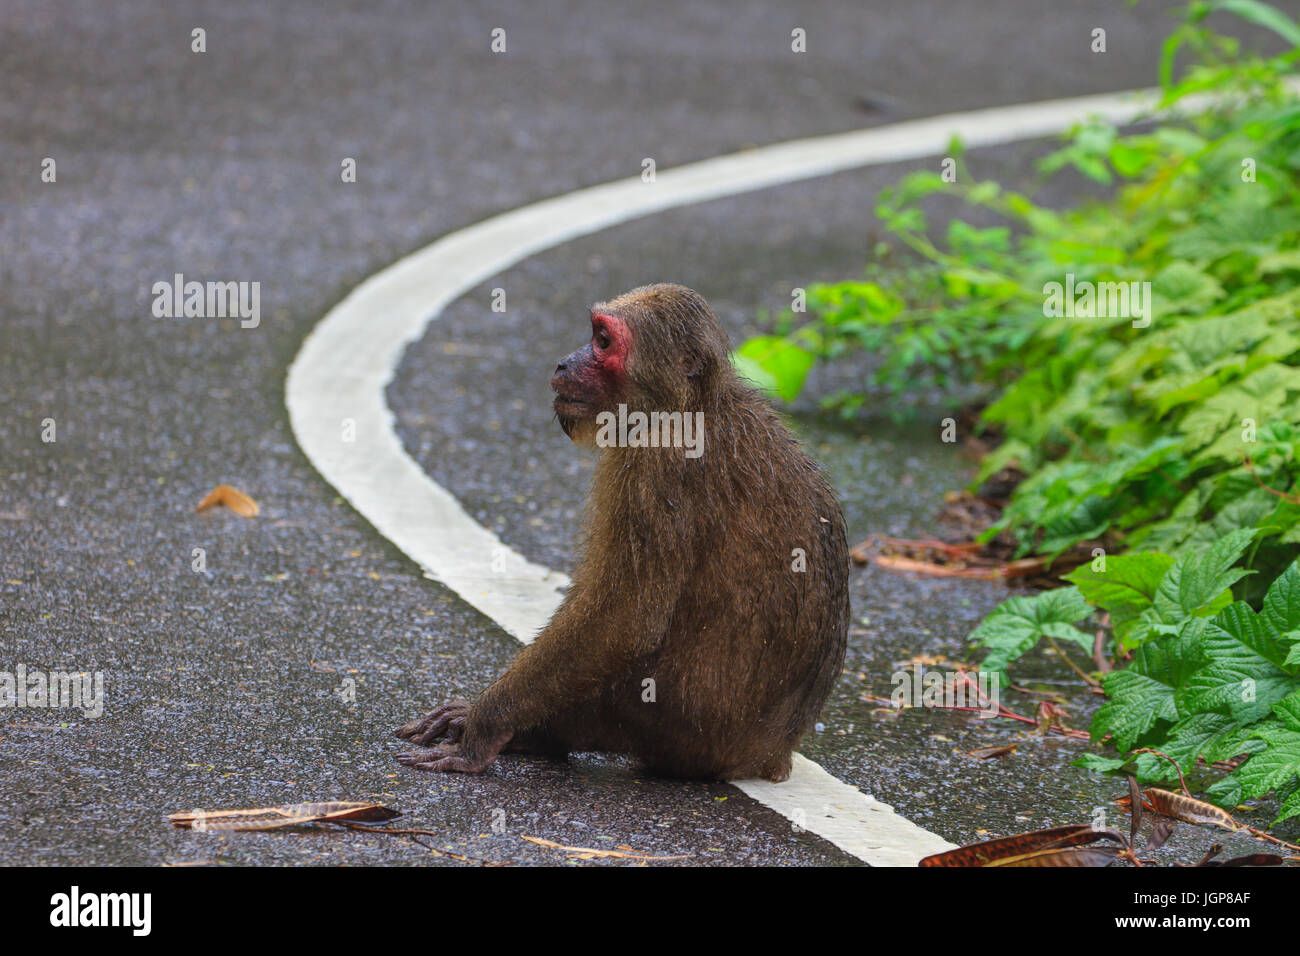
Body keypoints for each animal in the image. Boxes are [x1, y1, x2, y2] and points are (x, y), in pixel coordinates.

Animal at [395, 283, 849, 782]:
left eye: (603, 342)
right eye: (593, 332)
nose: (563, 363)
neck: (688, 406)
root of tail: (770, 756)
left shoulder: (654, 467)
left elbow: (625, 618)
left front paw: (484, 726)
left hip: (679, 728)